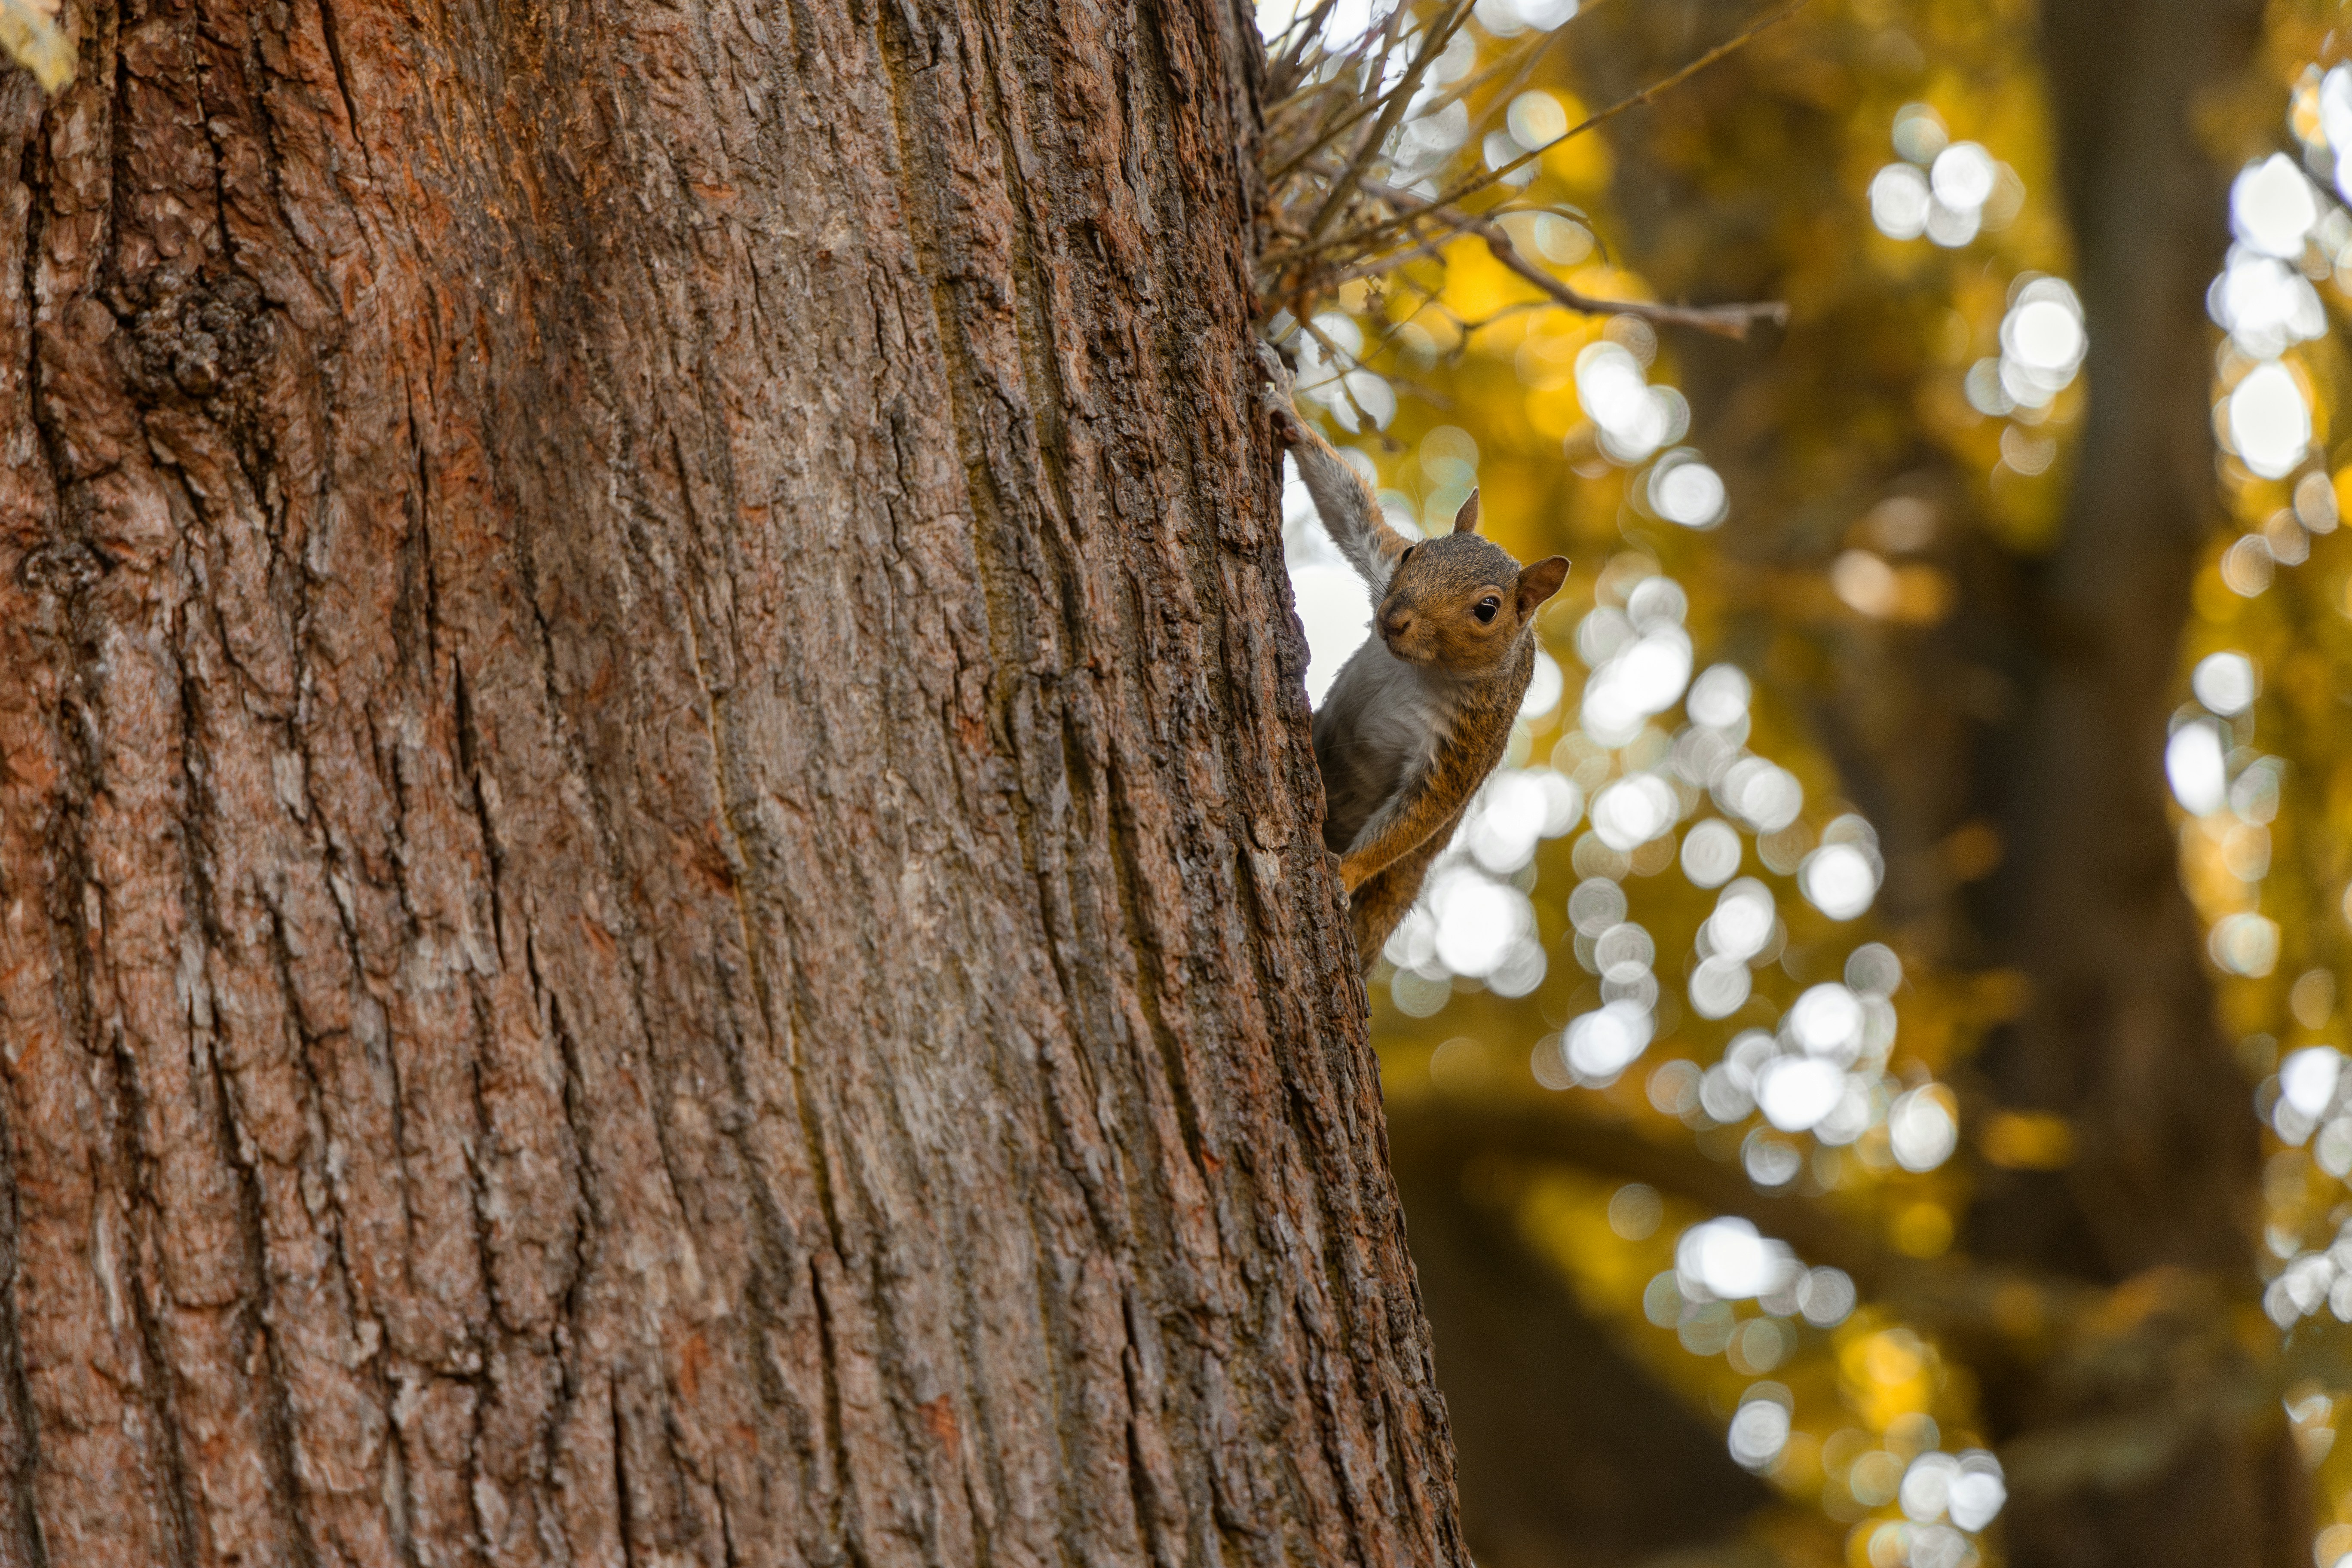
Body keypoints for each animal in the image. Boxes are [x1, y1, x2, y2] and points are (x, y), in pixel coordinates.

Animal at [1259, 343, 1569, 970]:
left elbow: (1419, 814)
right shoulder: (1379, 561)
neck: (1422, 668)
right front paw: (1289, 411)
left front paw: (1342, 871)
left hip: (1395, 890)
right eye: (1413, 554)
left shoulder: (1466, 742)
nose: (1393, 619)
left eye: (1487, 610)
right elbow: (1350, 513)